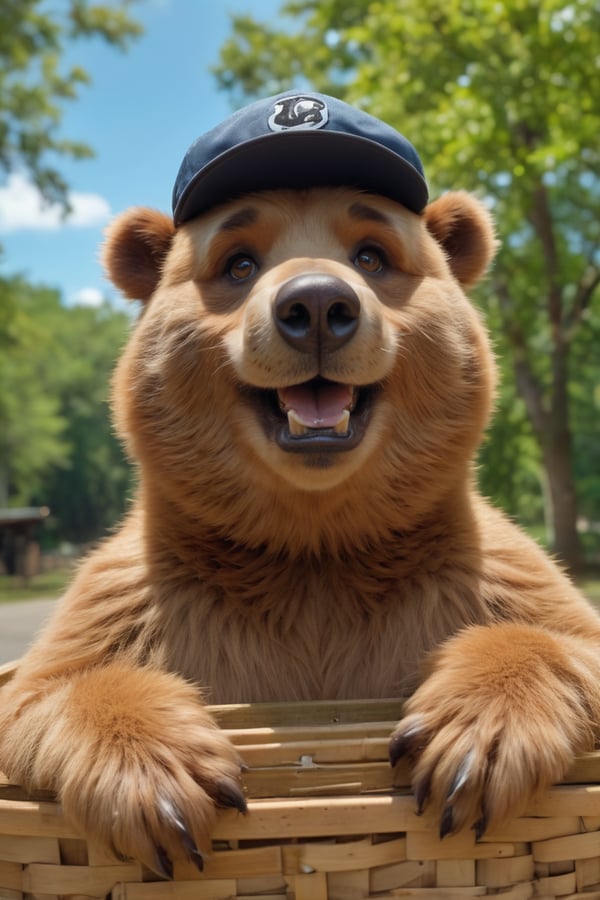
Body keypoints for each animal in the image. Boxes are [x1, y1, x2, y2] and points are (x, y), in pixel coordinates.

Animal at [1, 91, 600, 878]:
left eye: (372, 254)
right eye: (238, 262)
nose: (316, 304)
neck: (313, 542)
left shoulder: (479, 575)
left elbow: (565, 637)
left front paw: (471, 742)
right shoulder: (136, 601)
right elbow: (43, 691)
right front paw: (163, 777)